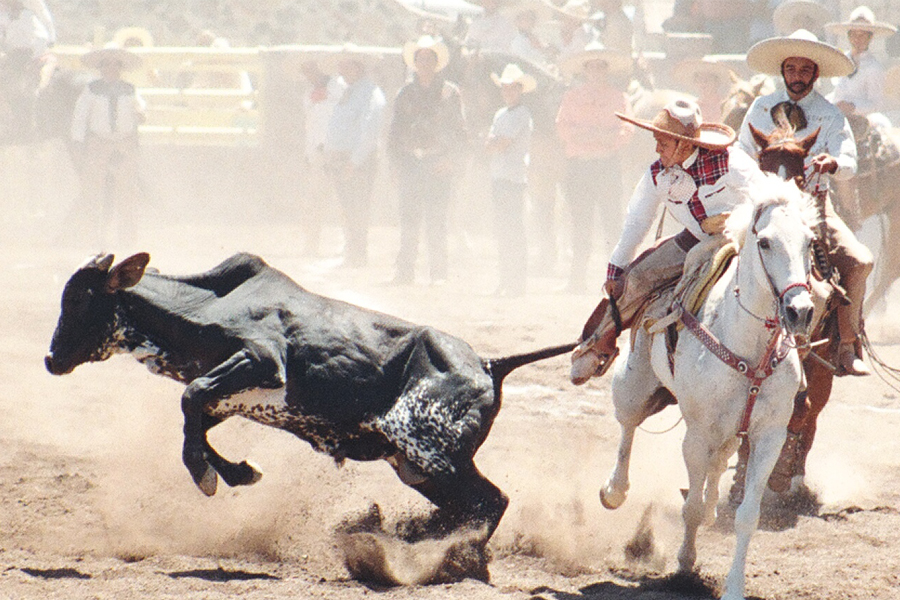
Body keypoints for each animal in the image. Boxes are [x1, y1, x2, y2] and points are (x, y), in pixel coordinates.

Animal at [599, 176, 817, 600]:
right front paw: (685, 563)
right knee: (628, 425)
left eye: (810, 242)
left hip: (730, 431)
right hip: (634, 384)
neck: (751, 352)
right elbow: (691, 507)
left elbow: (747, 515)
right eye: (765, 242)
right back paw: (614, 490)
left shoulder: (769, 436)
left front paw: (734, 586)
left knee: (719, 464)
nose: (800, 311)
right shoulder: (697, 436)